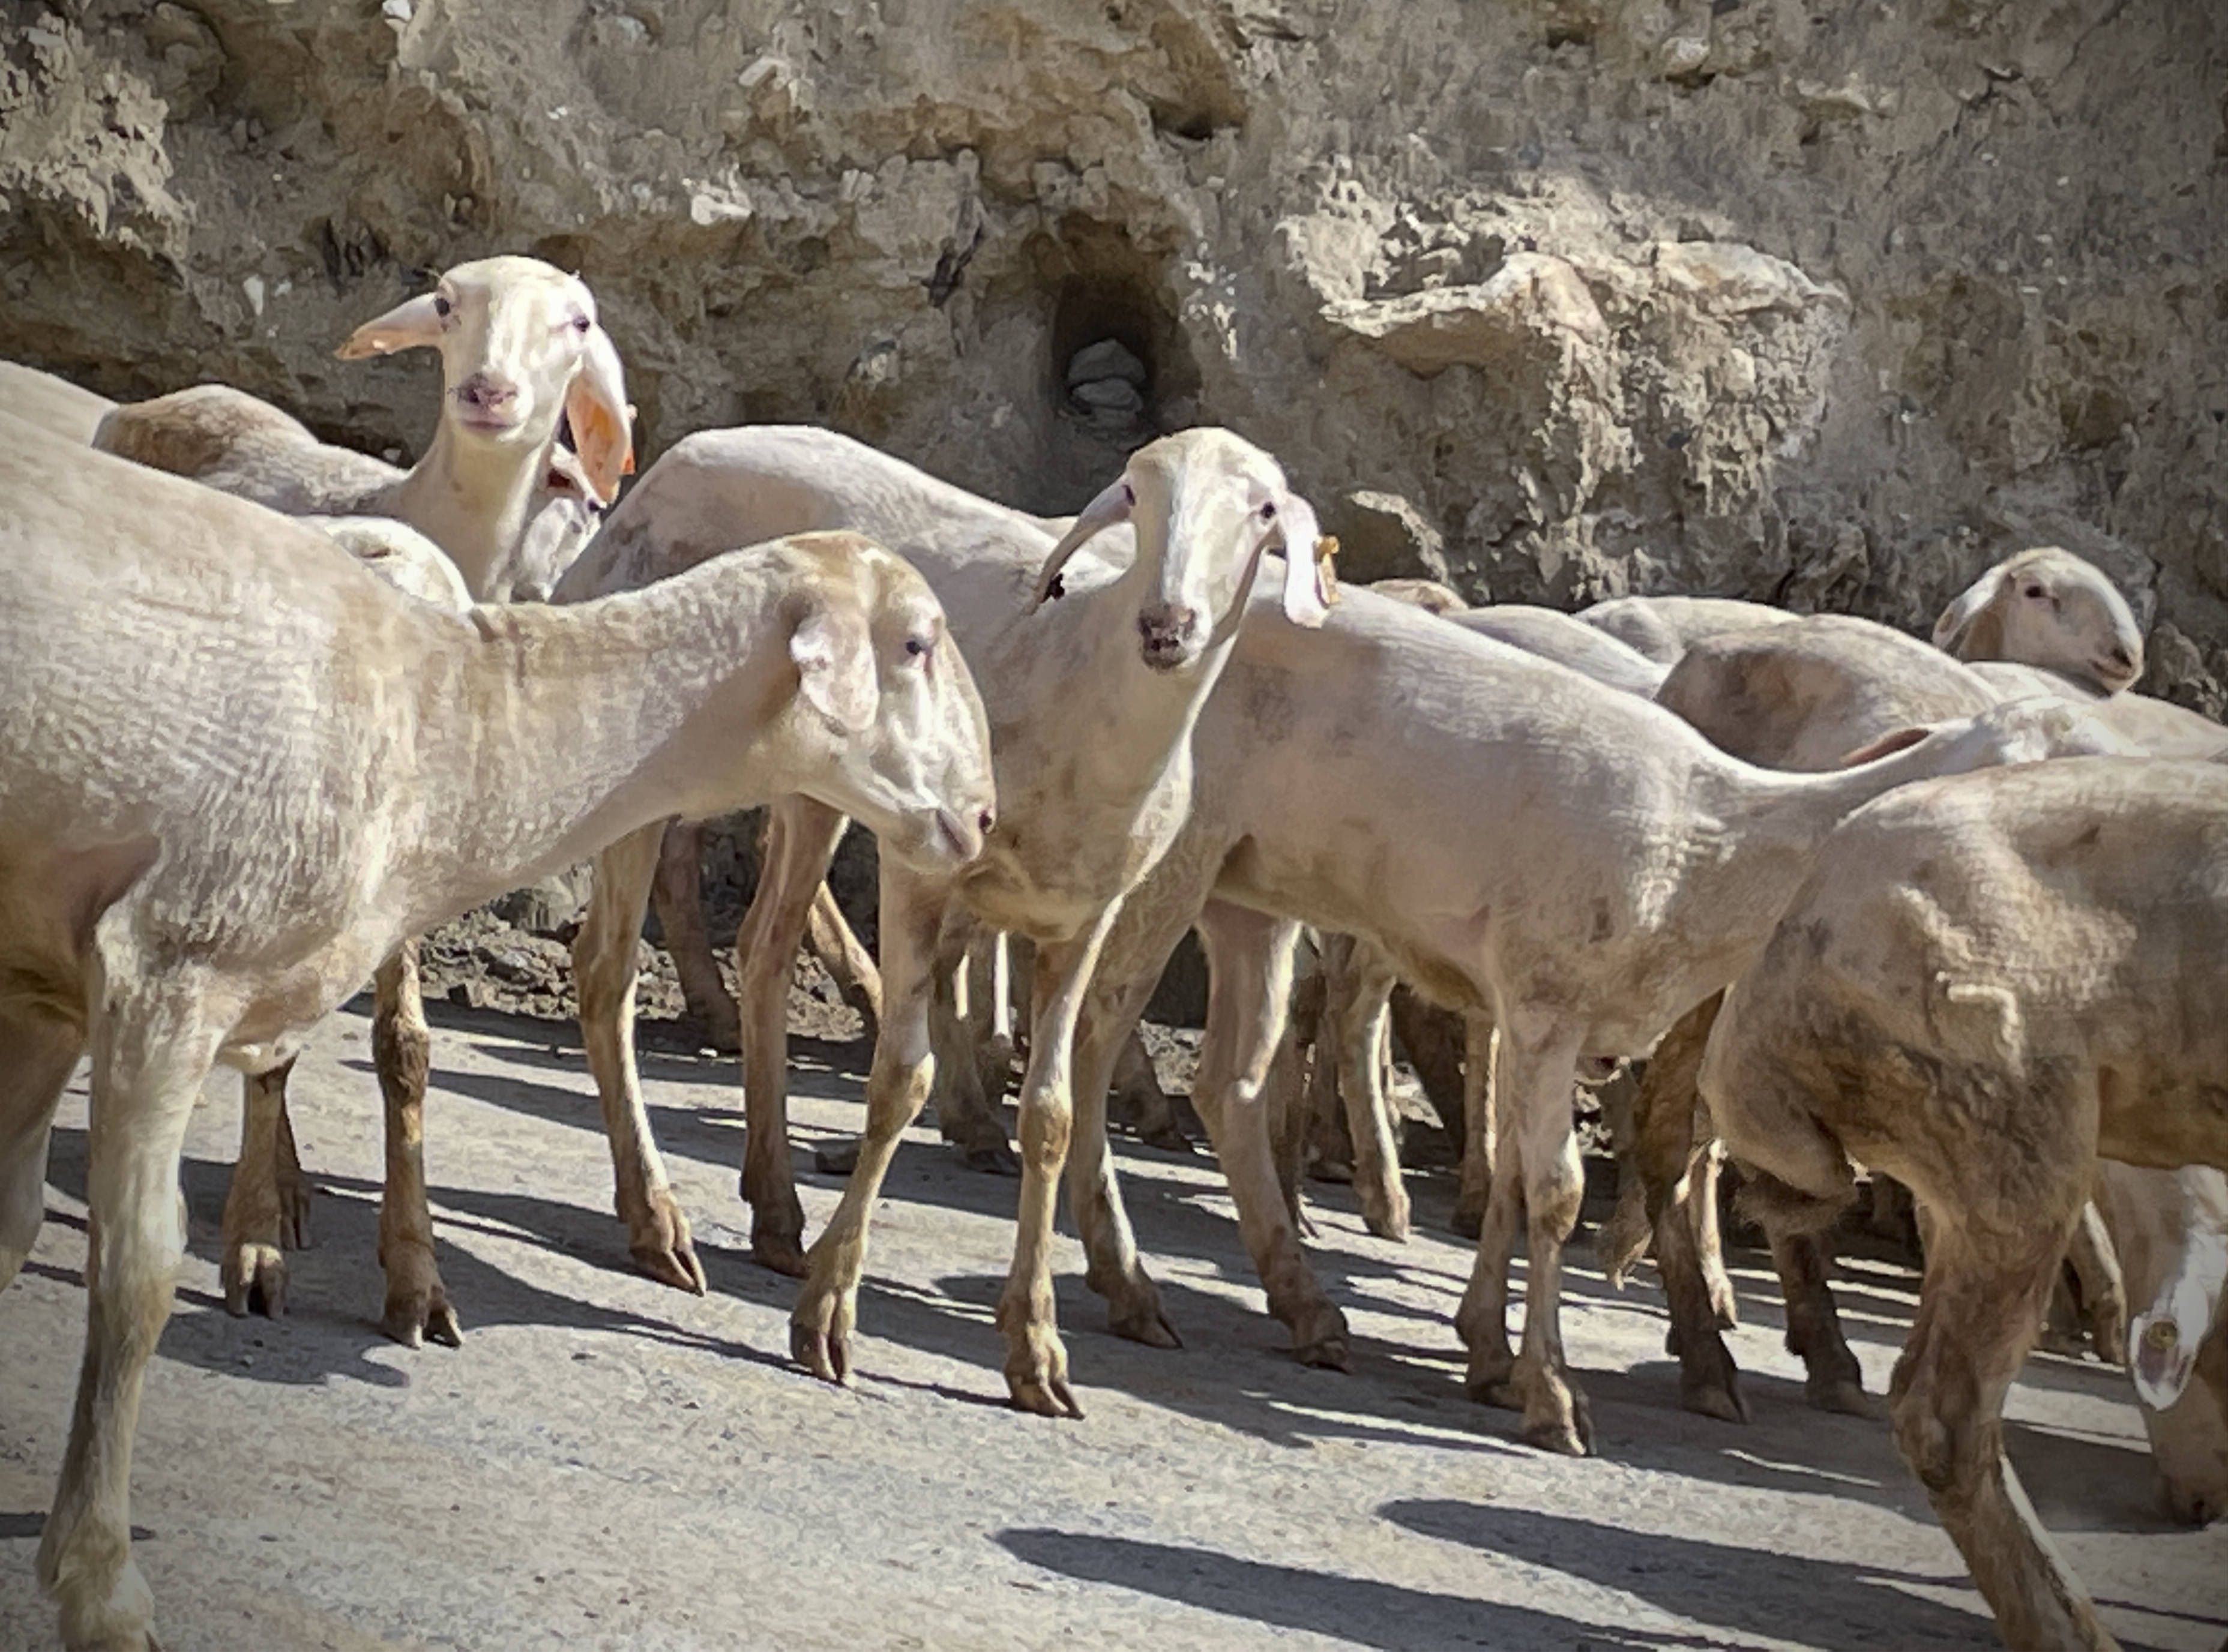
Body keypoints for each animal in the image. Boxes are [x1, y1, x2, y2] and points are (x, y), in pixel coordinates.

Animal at [0, 414, 996, 1651]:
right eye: (915, 642)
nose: (986, 813)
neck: (459, 711)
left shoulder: (46, 984)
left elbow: (8, 1225)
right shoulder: (164, 974)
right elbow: (134, 1279)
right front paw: (99, 1584)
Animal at [552, 424, 1332, 1407]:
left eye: (1263, 510)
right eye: (1135, 493)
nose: (1166, 626)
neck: (1088, 693)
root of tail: (684, 455)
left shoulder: (1081, 921)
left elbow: (1053, 1113)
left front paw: (1035, 1348)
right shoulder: (923, 872)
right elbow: (900, 1081)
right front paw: (829, 1315)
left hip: (814, 788)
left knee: (765, 950)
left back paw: (776, 1213)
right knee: (607, 970)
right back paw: (657, 1223)